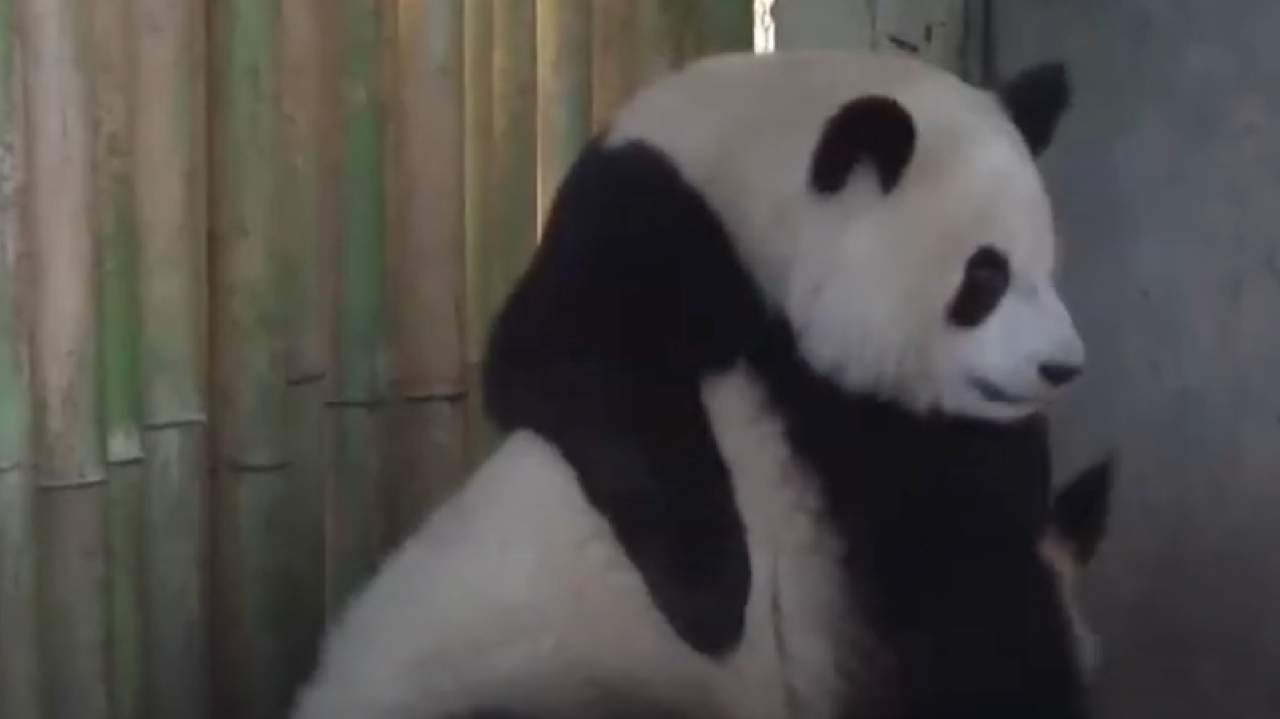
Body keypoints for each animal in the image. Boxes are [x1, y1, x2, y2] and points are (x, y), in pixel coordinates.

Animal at [289, 49, 1098, 719]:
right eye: (985, 276)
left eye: (1048, 262)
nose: (1063, 366)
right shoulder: (647, 212)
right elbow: (567, 357)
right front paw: (713, 597)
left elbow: (971, 559)